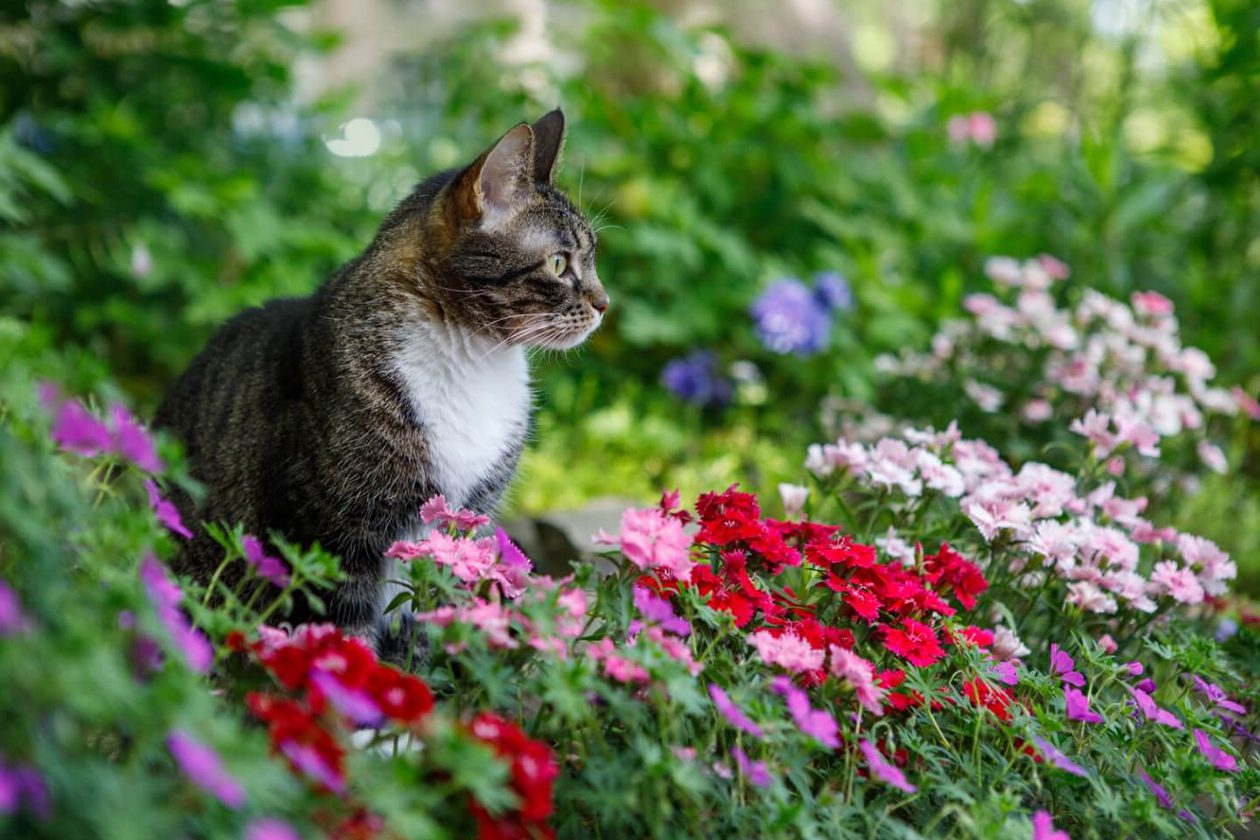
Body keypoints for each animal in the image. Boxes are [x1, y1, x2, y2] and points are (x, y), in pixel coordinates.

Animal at [154, 107, 607, 654]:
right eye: (560, 263)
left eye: (594, 258)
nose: (606, 304)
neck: (475, 360)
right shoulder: (331, 533)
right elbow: (347, 635)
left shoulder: (460, 527)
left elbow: (430, 623)